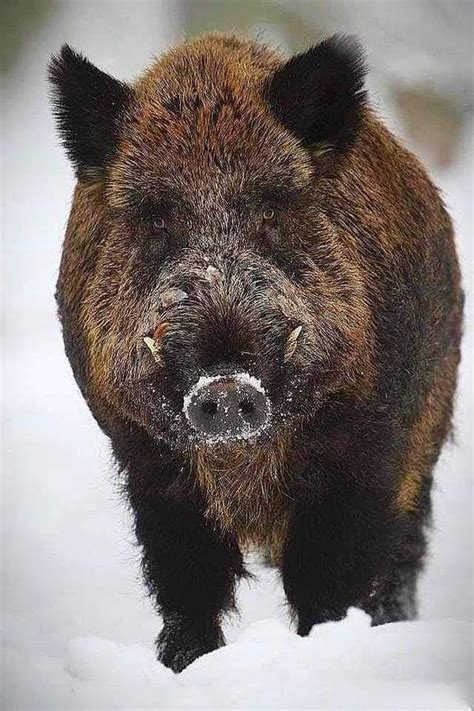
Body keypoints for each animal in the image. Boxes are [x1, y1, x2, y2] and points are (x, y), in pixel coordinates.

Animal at [49, 33, 463, 672]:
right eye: (158, 219)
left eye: (270, 211)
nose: (225, 385)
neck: (241, 463)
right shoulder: (145, 458)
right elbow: (187, 576)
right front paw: (184, 665)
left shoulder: (367, 447)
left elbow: (328, 574)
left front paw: (324, 649)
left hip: (429, 431)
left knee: (405, 553)